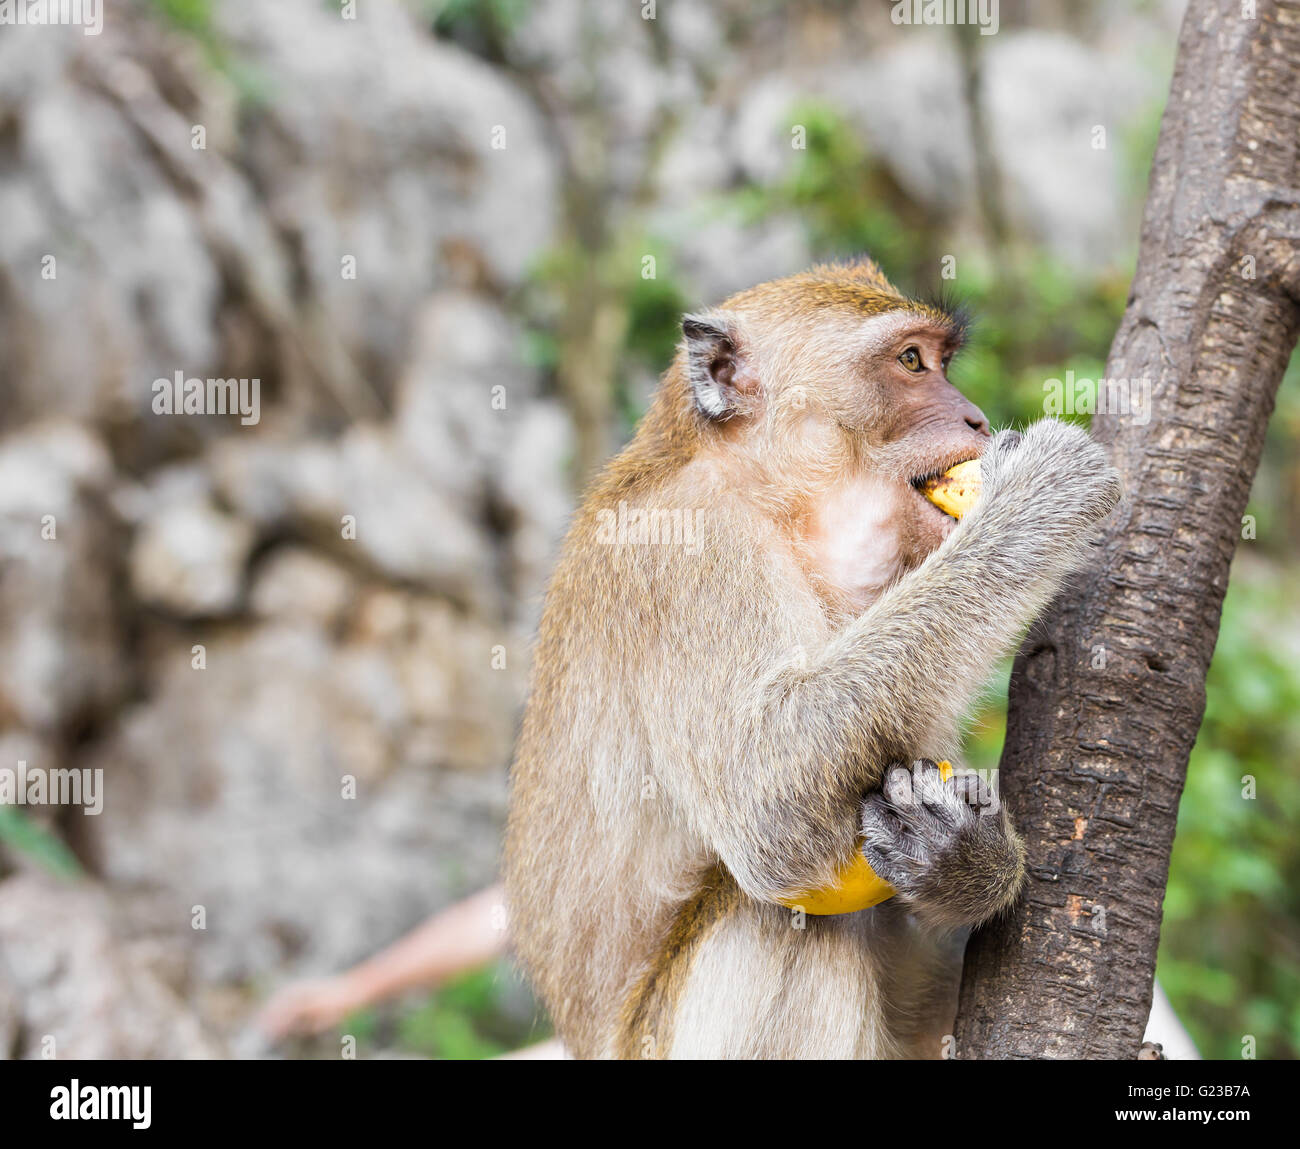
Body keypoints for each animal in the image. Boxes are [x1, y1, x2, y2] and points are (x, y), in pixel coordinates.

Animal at [503, 257, 1122, 1060]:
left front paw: (966, 862)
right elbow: (764, 780)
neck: (774, 503)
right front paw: (1039, 492)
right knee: (778, 922)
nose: (978, 419)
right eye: (911, 362)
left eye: (942, 362)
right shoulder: (688, 548)